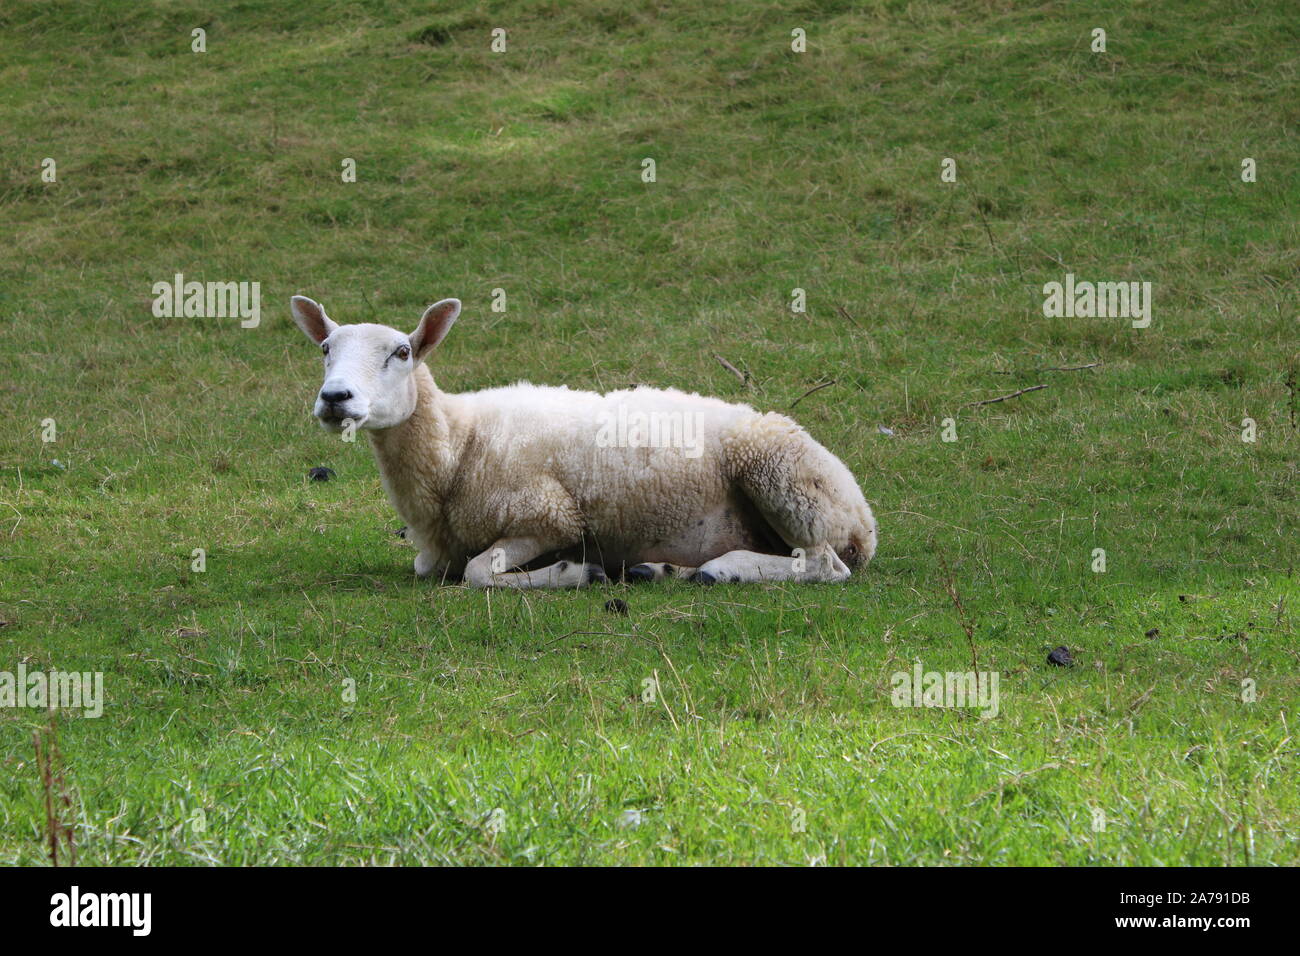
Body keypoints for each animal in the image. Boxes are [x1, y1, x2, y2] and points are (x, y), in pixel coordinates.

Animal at [290, 295, 878, 588]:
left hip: (783, 480)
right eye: (324, 347)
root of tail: (864, 518)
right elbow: (431, 567)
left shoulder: (549, 517)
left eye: (402, 352)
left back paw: (720, 570)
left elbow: (480, 572)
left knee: (825, 565)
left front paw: (576, 572)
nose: (335, 397)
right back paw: (659, 569)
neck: (458, 441)